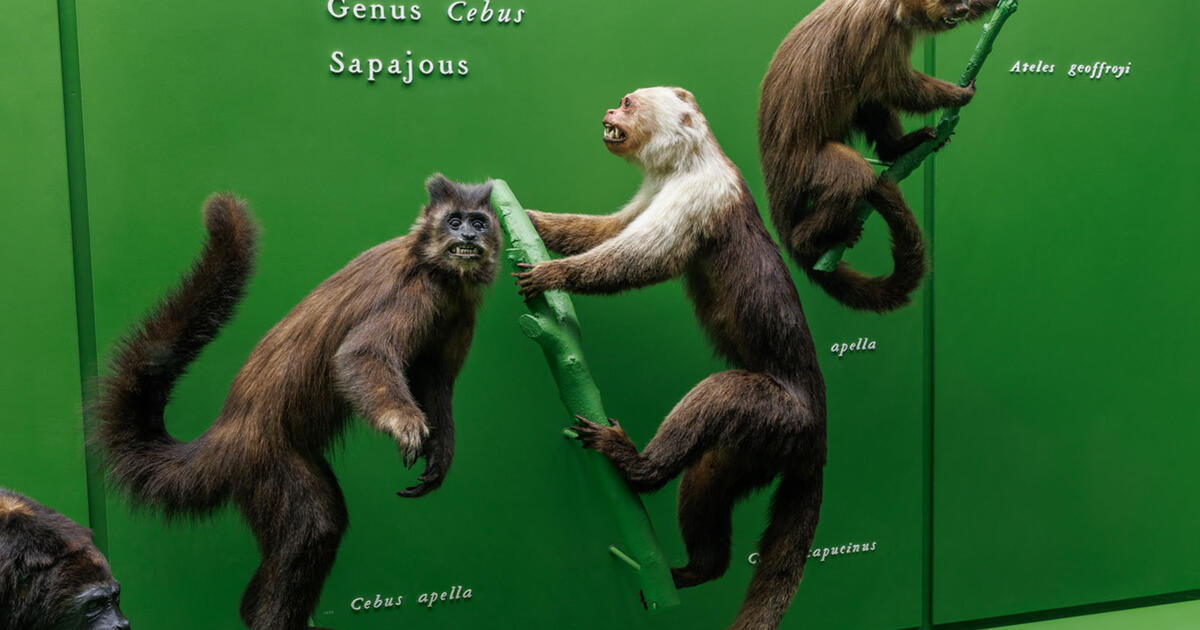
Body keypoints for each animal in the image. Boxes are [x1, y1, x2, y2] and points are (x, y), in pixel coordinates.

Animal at [92, 175, 499, 630]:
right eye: (454, 221)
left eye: (479, 222)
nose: (467, 237)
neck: (440, 273)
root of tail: (227, 432)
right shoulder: (418, 291)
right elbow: (359, 354)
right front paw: (405, 426)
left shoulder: (459, 312)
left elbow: (436, 384)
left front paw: (440, 456)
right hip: (269, 466)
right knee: (315, 526)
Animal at [513, 87, 826, 630]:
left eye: (627, 103)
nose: (609, 111)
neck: (684, 164)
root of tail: (819, 432)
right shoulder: (654, 190)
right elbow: (606, 230)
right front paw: (523, 218)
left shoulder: (700, 194)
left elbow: (643, 257)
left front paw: (555, 274)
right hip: (756, 448)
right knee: (706, 479)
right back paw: (699, 568)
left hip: (778, 415)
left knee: (719, 395)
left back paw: (639, 466)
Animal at [758, 0, 999, 312]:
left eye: (961, 2)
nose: (962, 8)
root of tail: (774, 173)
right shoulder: (876, 29)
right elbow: (895, 86)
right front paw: (956, 95)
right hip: (803, 168)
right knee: (855, 173)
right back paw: (808, 242)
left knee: (867, 99)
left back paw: (898, 149)